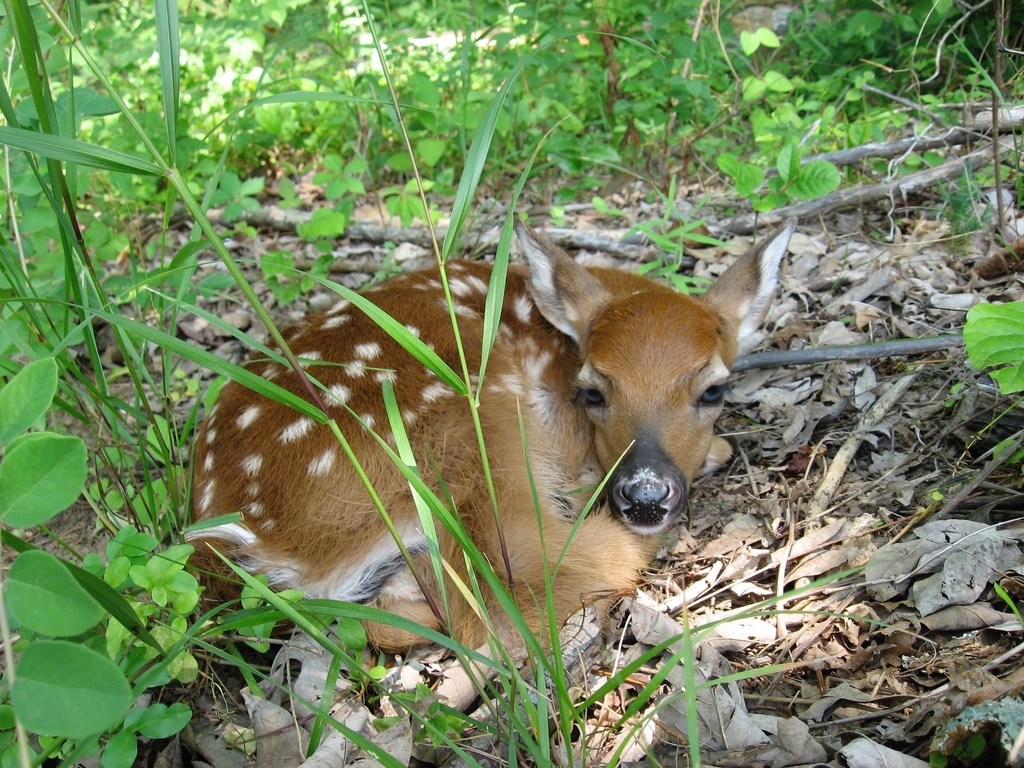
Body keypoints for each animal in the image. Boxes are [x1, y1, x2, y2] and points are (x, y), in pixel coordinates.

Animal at [187, 218, 796, 652]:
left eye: (714, 391)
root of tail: (244, 541)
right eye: (591, 392)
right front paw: (715, 451)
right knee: (515, 576)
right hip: (467, 418)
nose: (644, 495)